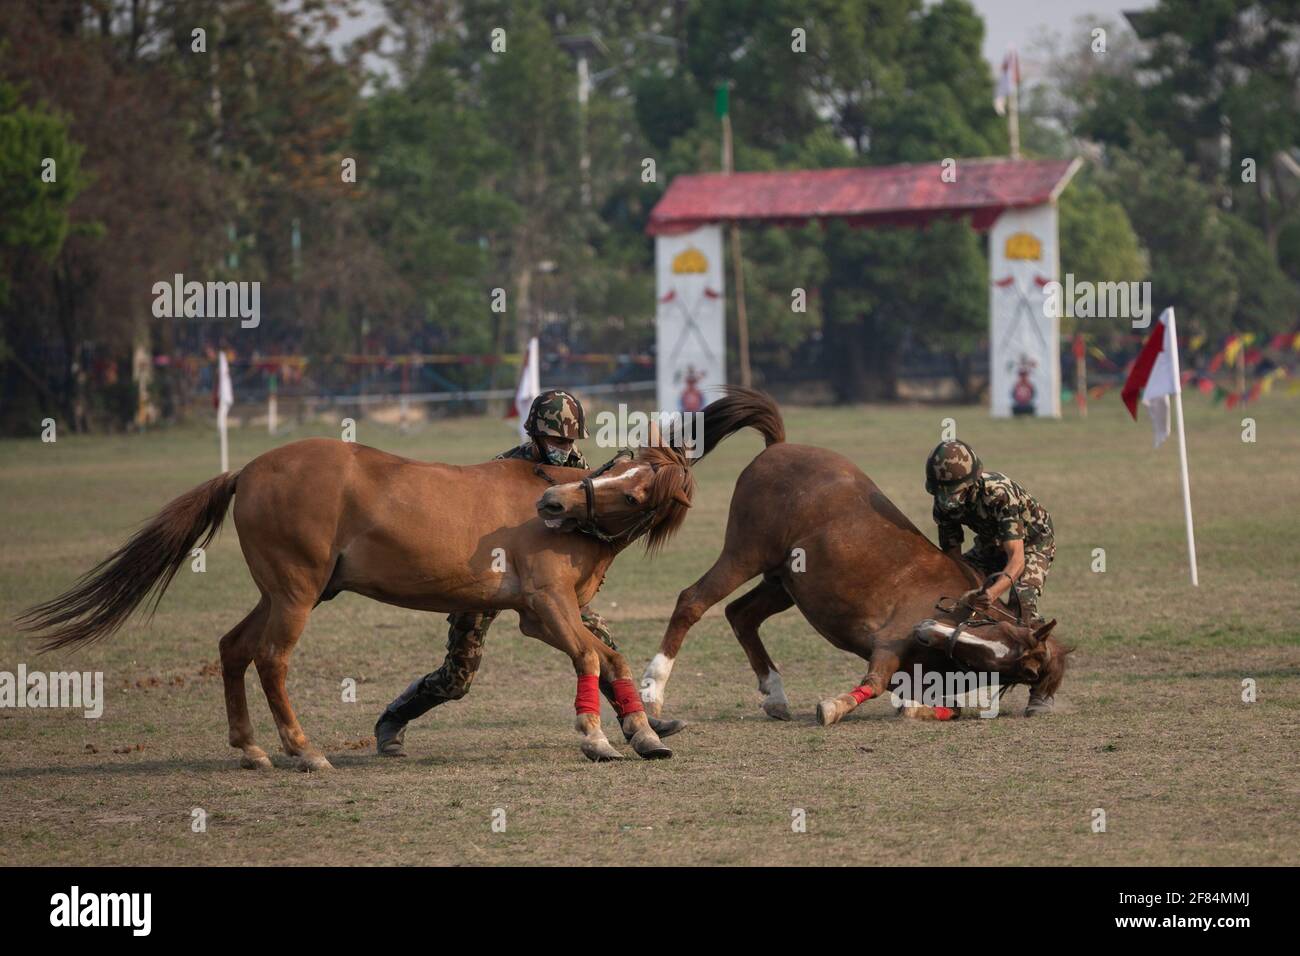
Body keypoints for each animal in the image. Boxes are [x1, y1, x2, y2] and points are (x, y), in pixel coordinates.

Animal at [17, 437, 696, 768]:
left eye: (638, 492)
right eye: (618, 467)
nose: (550, 505)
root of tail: (248, 471)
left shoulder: (551, 615)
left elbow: (612, 660)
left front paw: (644, 731)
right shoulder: (546, 610)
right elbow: (590, 658)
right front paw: (597, 738)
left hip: (286, 593)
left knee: (234, 648)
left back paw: (253, 749)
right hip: (295, 593)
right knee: (270, 660)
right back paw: (303, 750)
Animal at [638, 387, 1069, 726]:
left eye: (1025, 664)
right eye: (993, 632)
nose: (926, 628)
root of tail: (778, 446)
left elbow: (921, 704)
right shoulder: (887, 647)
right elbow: (873, 684)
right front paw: (832, 707)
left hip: (783, 581)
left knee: (740, 614)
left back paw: (775, 695)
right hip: (745, 554)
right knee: (693, 601)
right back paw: (652, 692)